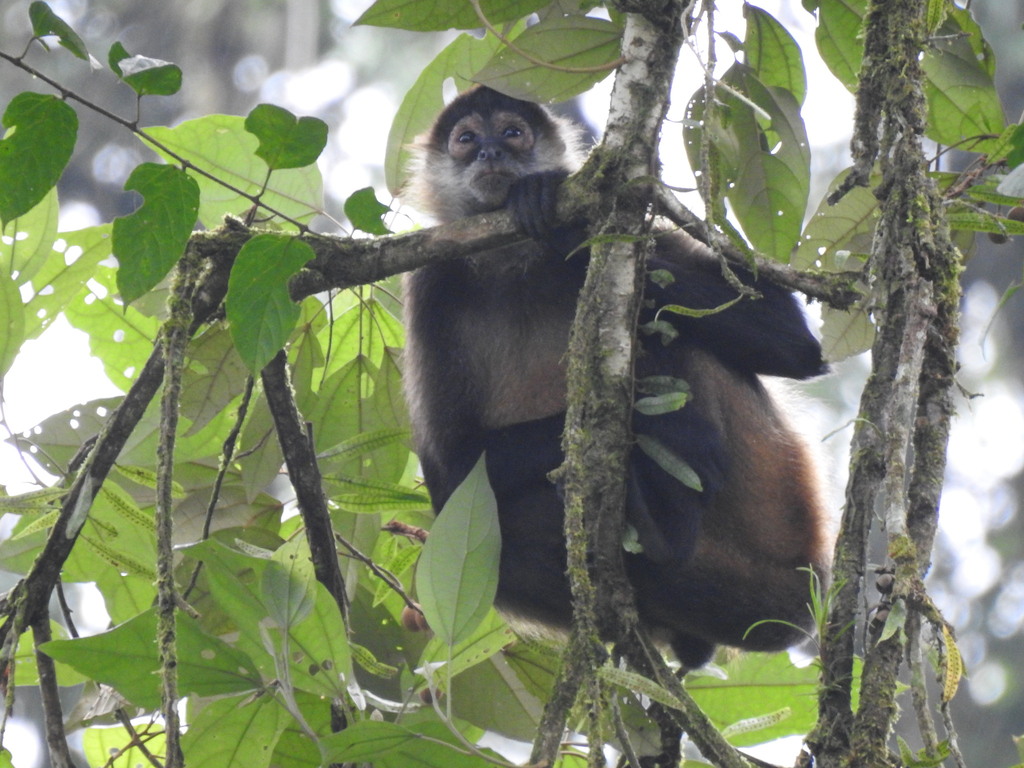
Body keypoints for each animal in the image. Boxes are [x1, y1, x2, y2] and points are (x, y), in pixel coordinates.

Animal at [401, 86, 831, 667]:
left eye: (513, 133)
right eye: (466, 139)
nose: (491, 152)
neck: (515, 259)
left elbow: (795, 345)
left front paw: (565, 225)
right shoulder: (432, 277)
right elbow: (451, 468)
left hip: (777, 501)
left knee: (675, 338)